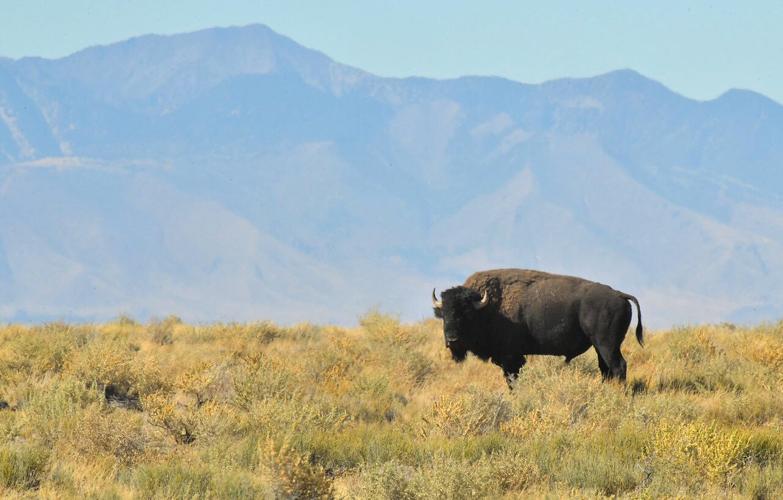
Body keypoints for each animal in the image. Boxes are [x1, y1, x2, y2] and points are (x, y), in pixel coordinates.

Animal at [432, 268, 643, 388]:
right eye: (444, 313)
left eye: (466, 313)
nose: (452, 340)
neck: (487, 306)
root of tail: (620, 295)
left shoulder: (511, 358)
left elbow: (512, 381)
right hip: (600, 347)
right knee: (606, 369)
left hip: (607, 345)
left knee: (618, 366)